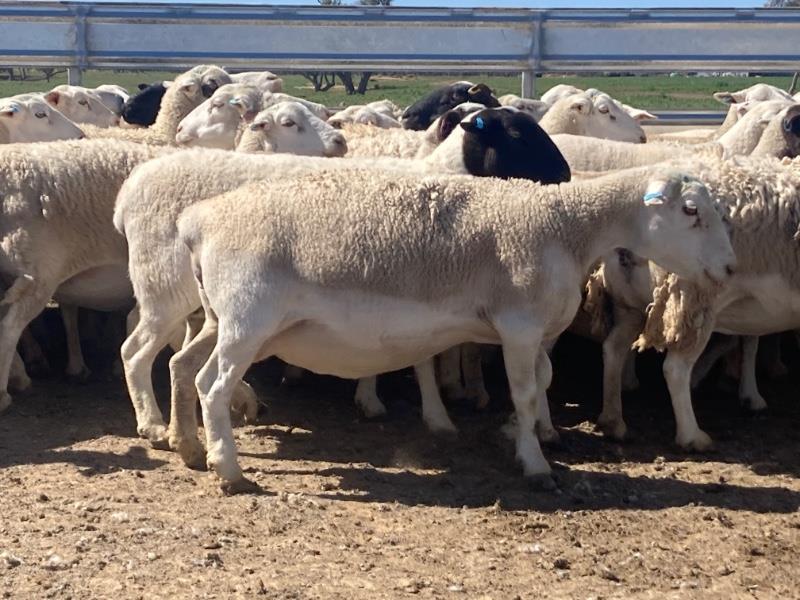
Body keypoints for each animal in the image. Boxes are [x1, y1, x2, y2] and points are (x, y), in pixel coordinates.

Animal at [114, 107, 571, 464]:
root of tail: (131, 186)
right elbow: (421, 357)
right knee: (137, 350)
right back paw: (153, 424)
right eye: (517, 133)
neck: (437, 171)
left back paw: (196, 425)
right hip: (164, 286)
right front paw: (424, 412)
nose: (566, 174)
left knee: (179, 357)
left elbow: (415, 353)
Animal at [172, 165, 735, 491]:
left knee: (184, 366)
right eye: (691, 211)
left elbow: (544, 383)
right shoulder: (519, 325)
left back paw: (191, 451)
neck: (566, 228)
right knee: (213, 386)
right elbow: (525, 393)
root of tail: (199, 221)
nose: (730, 269)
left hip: (222, 319)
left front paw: (525, 435)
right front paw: (535, 465)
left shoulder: (532, 332)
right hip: (248, 319)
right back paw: (229, 471)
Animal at [593, 154, 800, 450]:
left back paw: (613, 420)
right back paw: (692, 436)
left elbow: (749, 342)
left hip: (630, 303)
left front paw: (750, 395)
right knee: (675, 368)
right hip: (694, 299)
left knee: (613, 349)